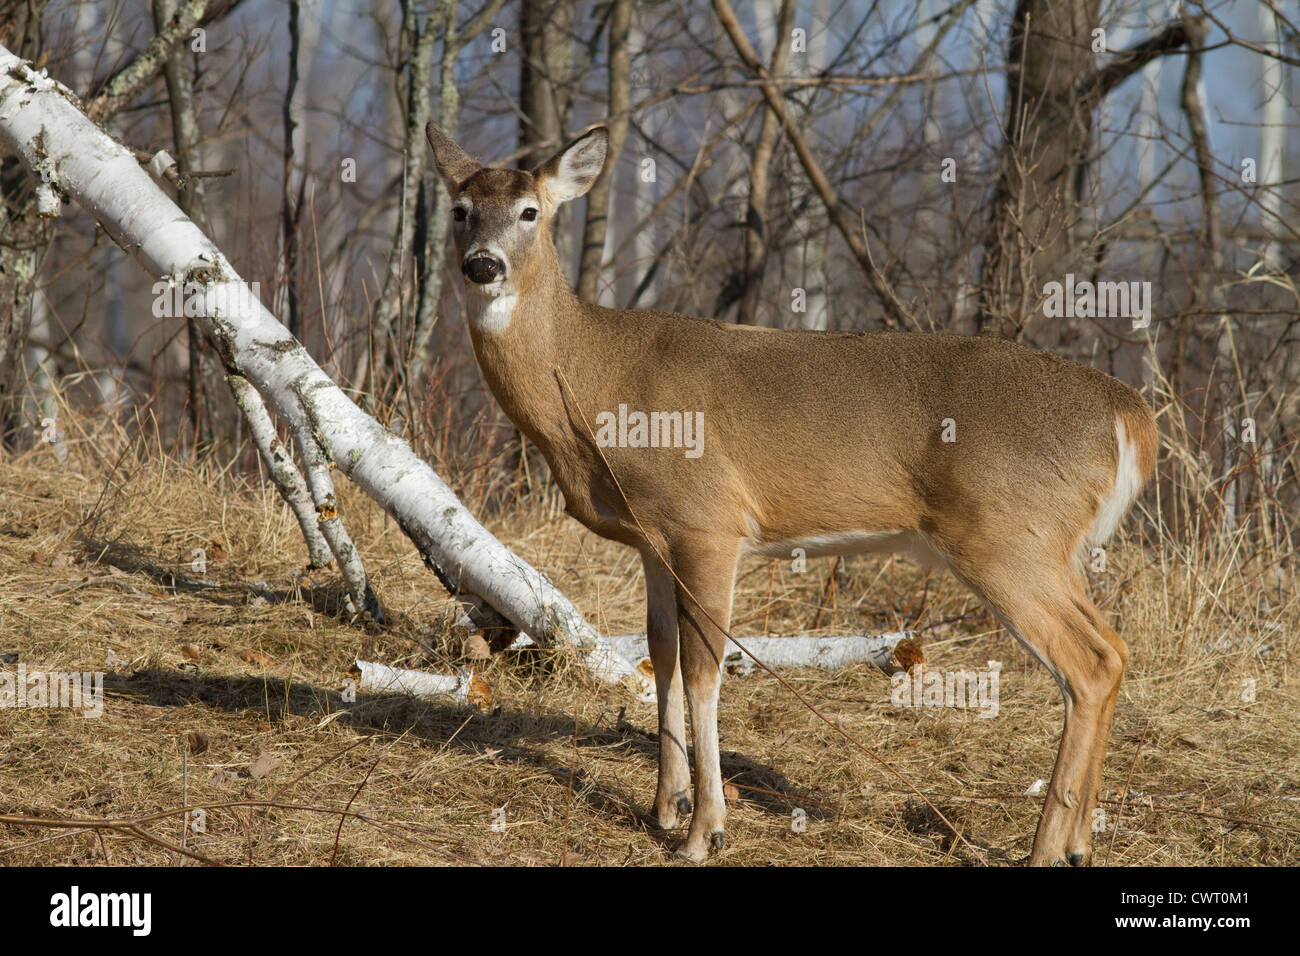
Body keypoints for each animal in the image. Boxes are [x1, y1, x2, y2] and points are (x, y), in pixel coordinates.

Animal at [425, 120, 1159, 866]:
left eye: (530, 212)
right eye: (459, 209)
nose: (482, 264)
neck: (594, 383)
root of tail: (1130, 414)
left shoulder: (708, 522)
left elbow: (705, 669)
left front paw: (704, 831)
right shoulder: (654, 539)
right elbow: (661, 654)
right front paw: (664, 806)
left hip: (1003, 534)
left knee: (1089, 663)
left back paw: (1046, 847)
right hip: (1053, 547)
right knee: (1115, 649)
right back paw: (1079, 842)